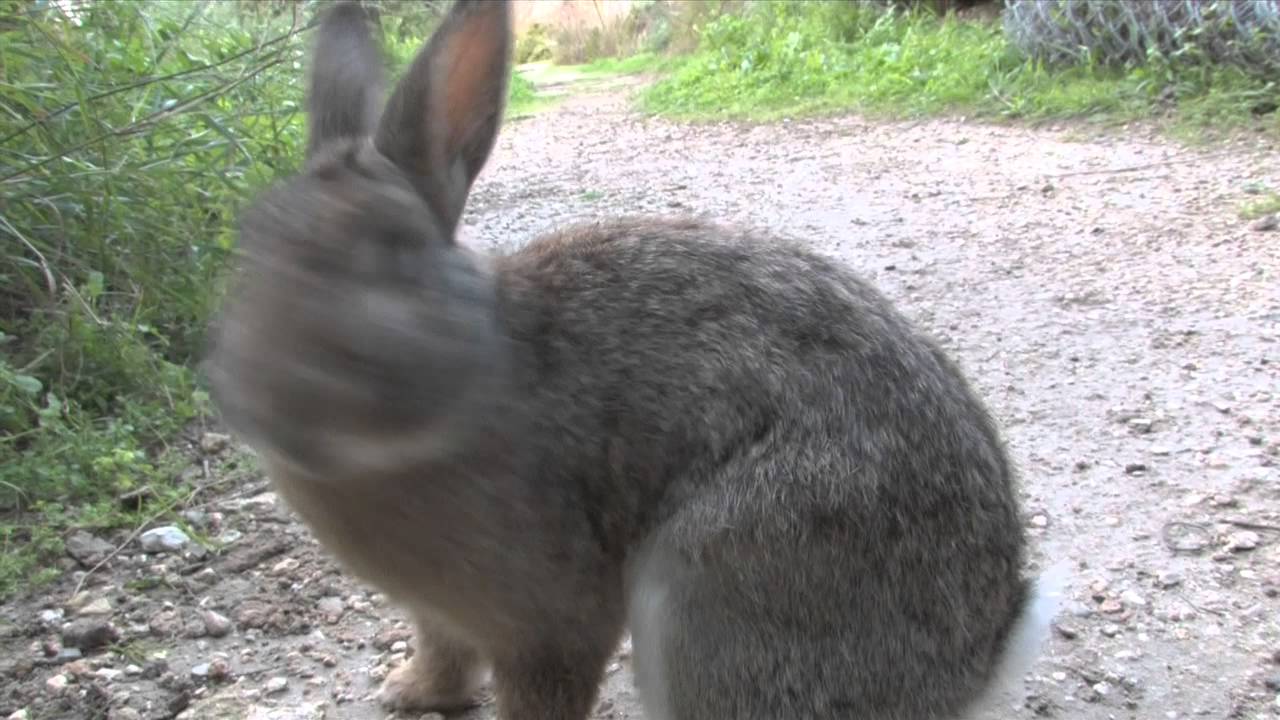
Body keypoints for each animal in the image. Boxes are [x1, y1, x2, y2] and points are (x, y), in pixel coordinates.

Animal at [203, 1, 1066, 718]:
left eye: (395, 258)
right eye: (253, 244)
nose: (265, 405)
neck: (472, 383)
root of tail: (970, 672)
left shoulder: (553, 620)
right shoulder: (439, 614)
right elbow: (441, 651)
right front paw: (409, 694)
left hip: (717, 592)